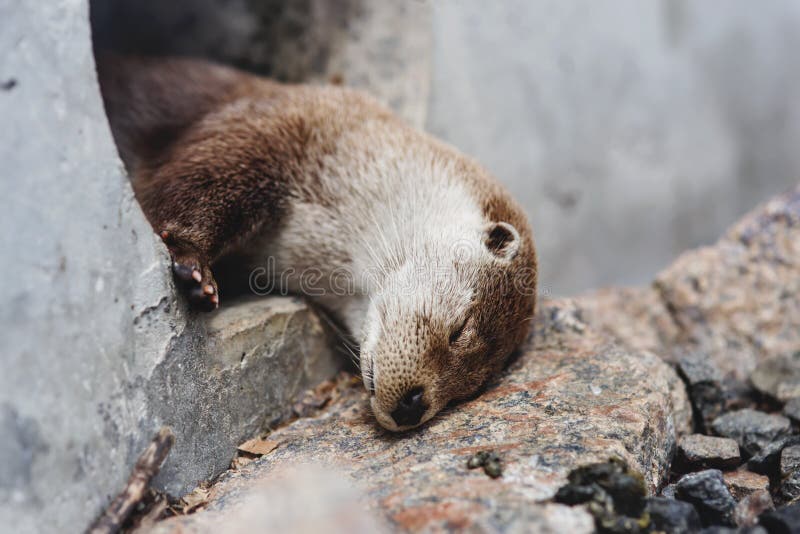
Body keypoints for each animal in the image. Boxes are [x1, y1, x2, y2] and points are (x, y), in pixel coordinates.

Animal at [97, 55, 537, 431]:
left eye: (474, 385)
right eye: (459, 330)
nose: (412, 406)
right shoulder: (256, 133)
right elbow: (190, 186)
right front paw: (192, 265)